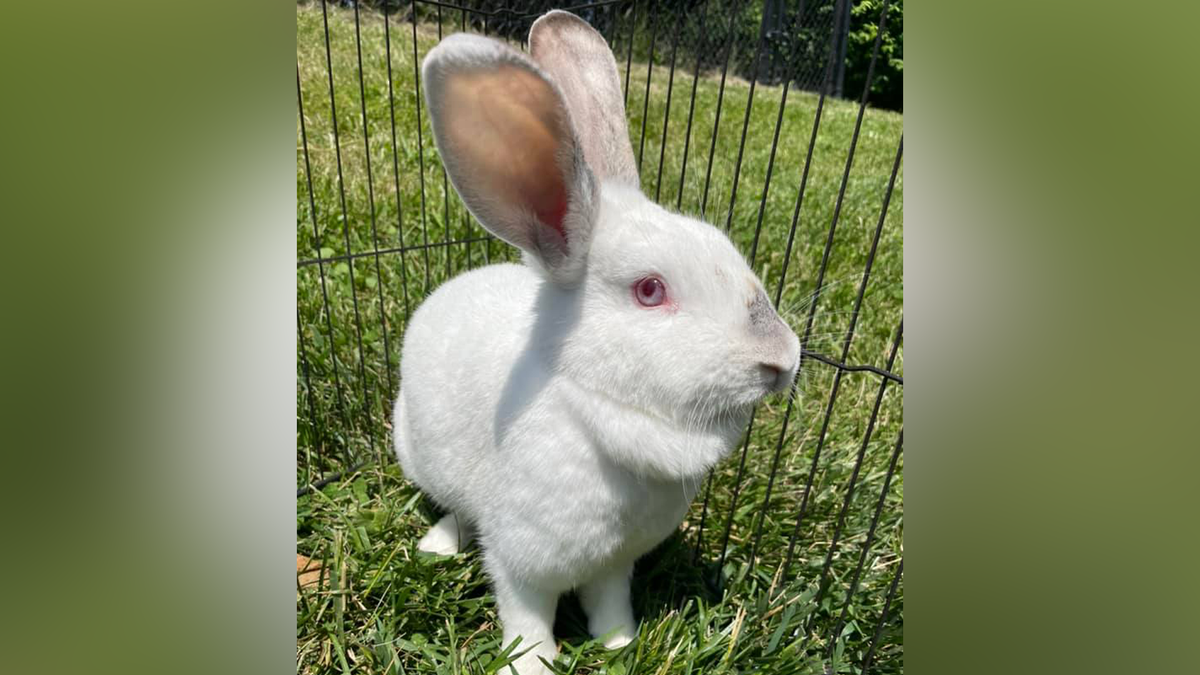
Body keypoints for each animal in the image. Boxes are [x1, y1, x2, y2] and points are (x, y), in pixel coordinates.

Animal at [392, 10, 800, 674]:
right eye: (650, 290)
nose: (784, 359)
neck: (599, 409)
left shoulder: (616, 563)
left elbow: (610, 602)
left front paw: (620, 644)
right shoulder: (521, 563)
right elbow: (525, 616)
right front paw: (532, 664)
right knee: (453, 509)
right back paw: (437, 544)